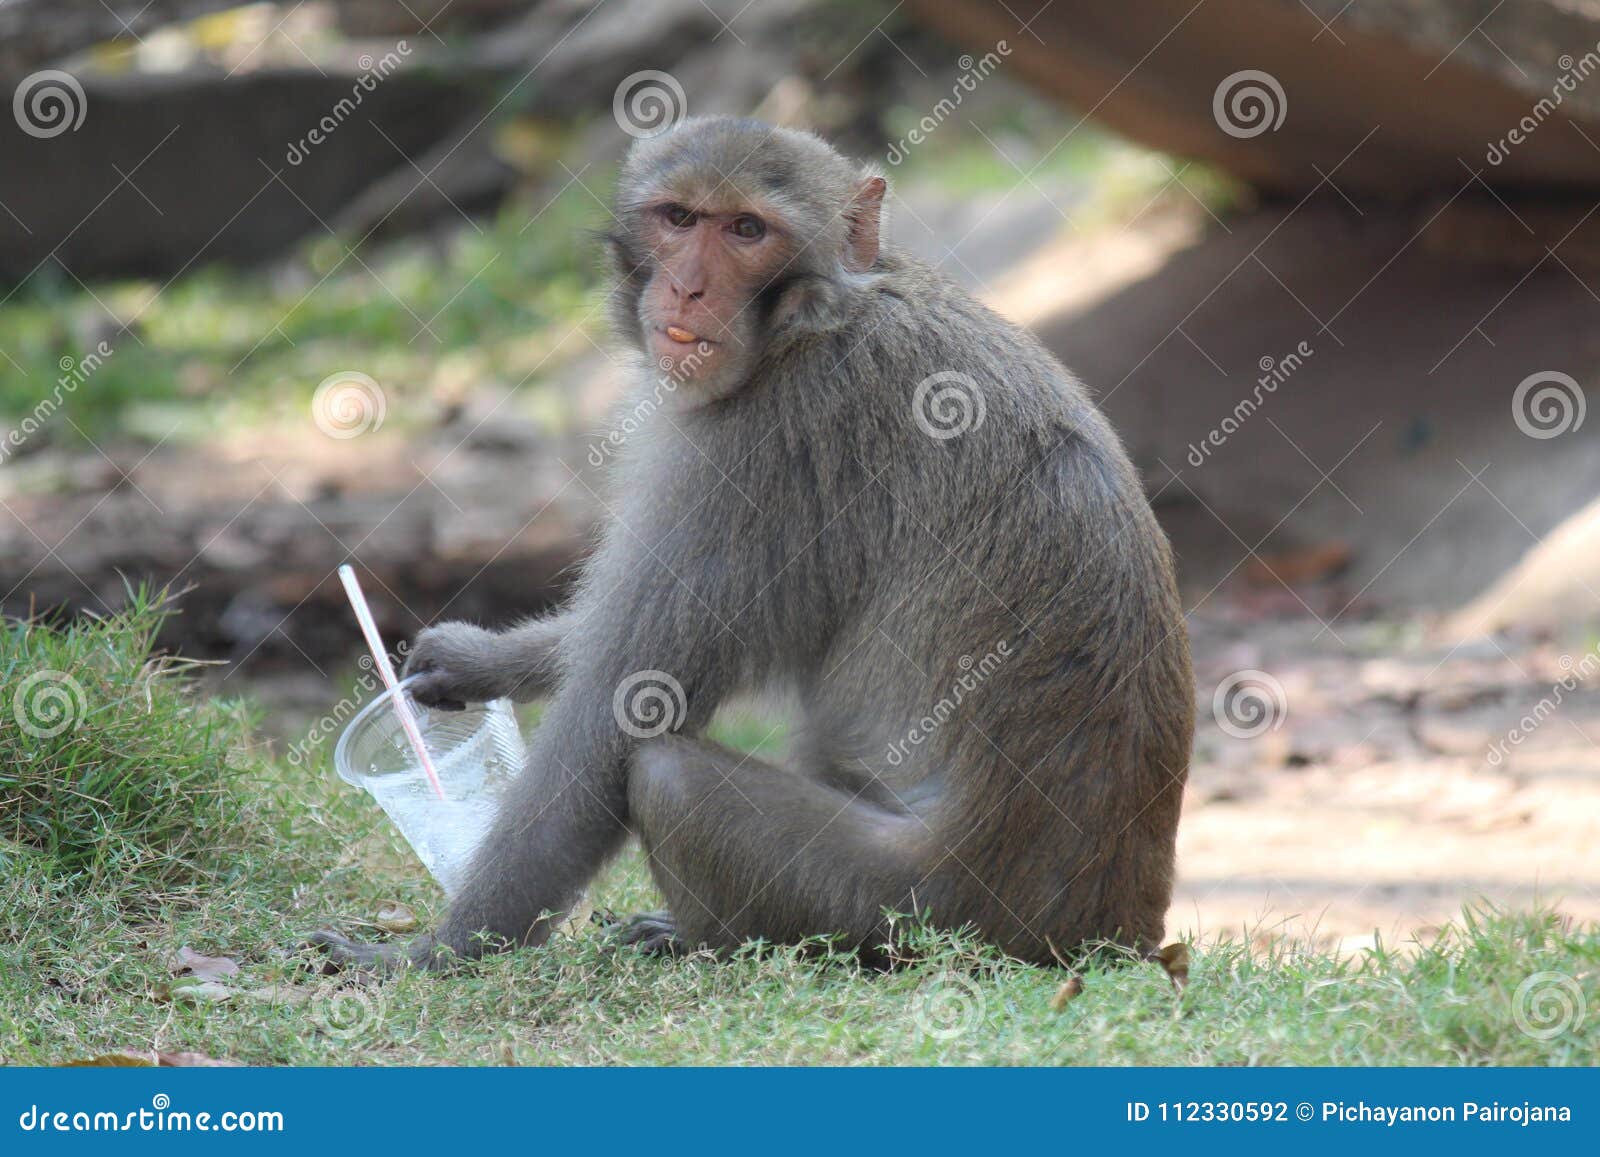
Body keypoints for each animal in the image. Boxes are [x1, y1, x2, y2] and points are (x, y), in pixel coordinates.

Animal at [308, 116, 1194, 972]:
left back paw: (706, 938)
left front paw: (434, 953)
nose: (688, 287)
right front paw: (475, 660)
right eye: (678, 219)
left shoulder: (765, 441)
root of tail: (1114, 929)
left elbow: (621, 710)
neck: (816, 318)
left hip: (909, 908)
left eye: (746, 229)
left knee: (667, 775)